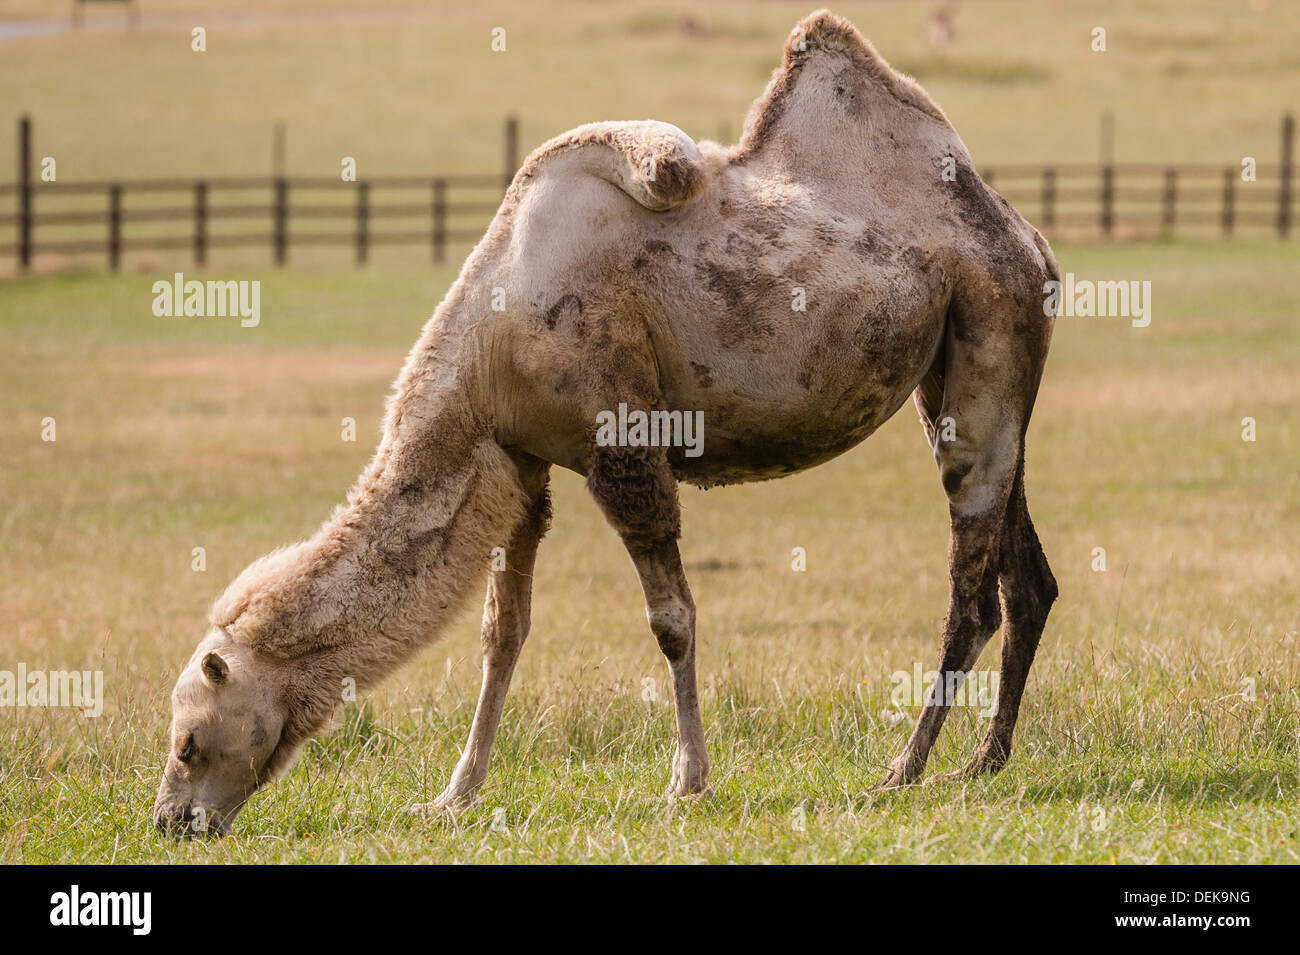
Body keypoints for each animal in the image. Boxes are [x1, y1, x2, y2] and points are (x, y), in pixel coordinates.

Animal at [154, 9, 1058, 836]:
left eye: (188, 741)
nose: (169, 819)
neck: (493, 332)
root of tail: (1027, 238)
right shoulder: (518, 460)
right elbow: (503, 630)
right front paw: (455, 792)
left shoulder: (621, 446)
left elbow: (671, 619)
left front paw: (687, 778)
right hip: (958, 376)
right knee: (1027, 579)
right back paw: (984, 760)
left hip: (989, 321)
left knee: (972, 591)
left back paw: (904, 768)